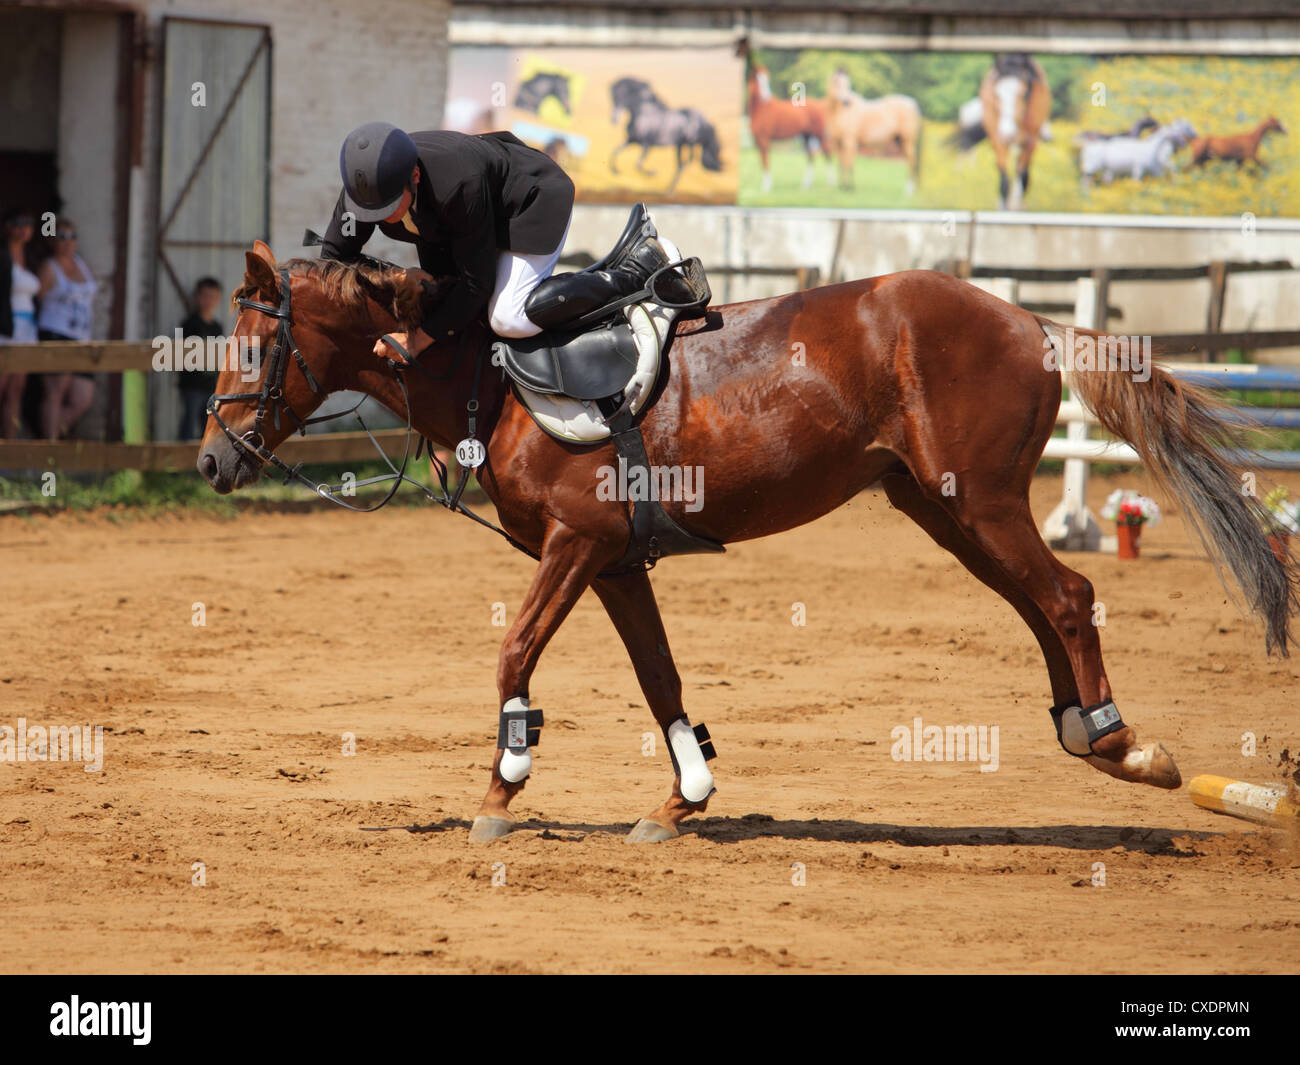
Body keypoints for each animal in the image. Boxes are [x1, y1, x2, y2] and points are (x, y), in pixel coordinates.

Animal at [199, 241, 1299, 843]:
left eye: (255, 345)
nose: (211, 459)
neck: (494, 379)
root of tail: (1027, 319)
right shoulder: (611, 562)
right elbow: (661, 679)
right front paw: (681, 799)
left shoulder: (573, 546)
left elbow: (513, 653)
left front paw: (502, 788)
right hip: (945, 514)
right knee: (1042, 604)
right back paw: (1087, 731)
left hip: (978, 502)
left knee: (1066, 597)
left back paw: (1121, 743)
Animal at [746, 64, 832, 192]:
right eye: (757, 79)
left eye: (766, 79)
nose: (766, 97)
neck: (761, 108)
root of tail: (820, 105)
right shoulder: (758, 141)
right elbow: (763, 162)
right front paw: (767, 186)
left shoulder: (763, 139)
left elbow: (766, 161)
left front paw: (766, 188)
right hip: (806, 136)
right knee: (810, 156)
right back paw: (805, 185)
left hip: (819, 135)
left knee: (827, 153)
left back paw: (832, 184)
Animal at [976, 53, 1052, 210]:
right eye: (996, 95)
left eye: (1022, 93)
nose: (1007, 133)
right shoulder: (997, 138)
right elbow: (1004, 179)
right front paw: (1003, 208)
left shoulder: (1030, 140)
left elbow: (1021, 174)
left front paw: (1016, 206)